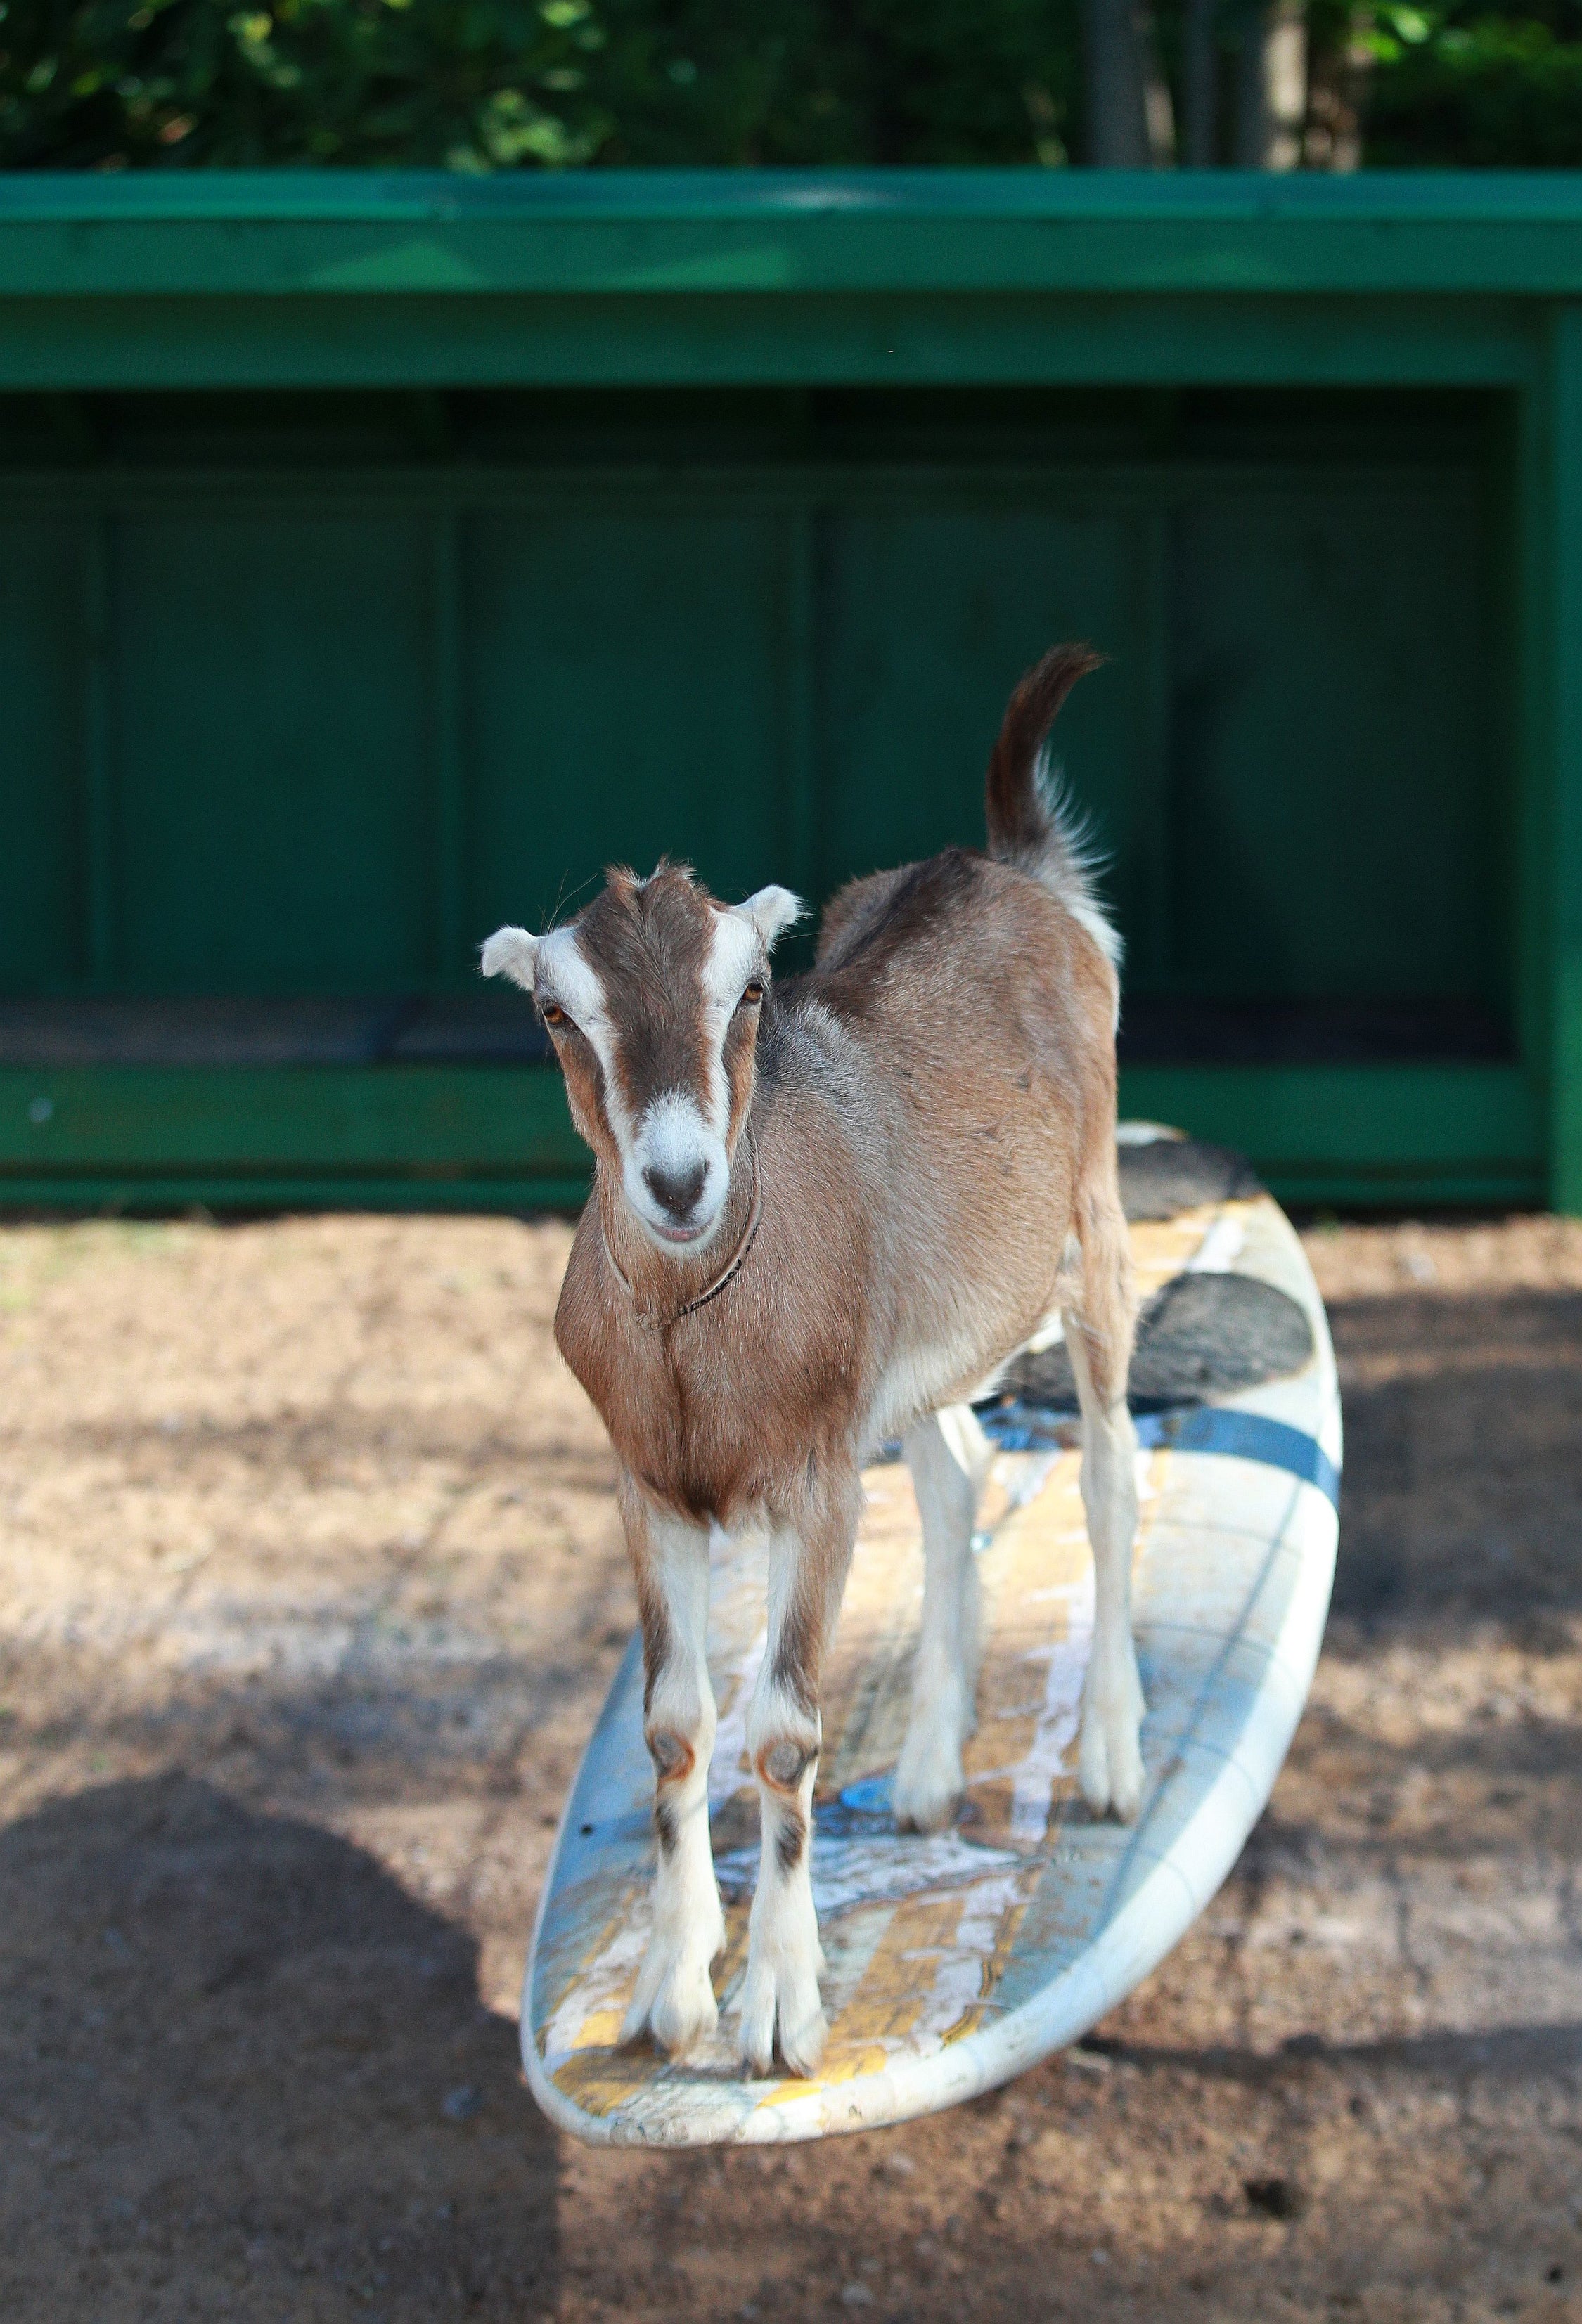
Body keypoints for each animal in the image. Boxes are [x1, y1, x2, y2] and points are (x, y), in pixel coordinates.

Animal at [482, 643, 1142, 2078]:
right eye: (558, 1013)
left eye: (749, 991)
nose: (680, 1181)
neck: (696, 1335)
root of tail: (1013, 869)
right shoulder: (650, 1488)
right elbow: (676, 1722)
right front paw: (668, 1992)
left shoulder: (816, 1484)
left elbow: (782, 1732)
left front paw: (778, 2007)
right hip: (924, 1345)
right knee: (955, 1472)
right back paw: (933, 1773)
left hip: (1093, 1229)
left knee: (1109, 1475)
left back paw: (1114, 1761)